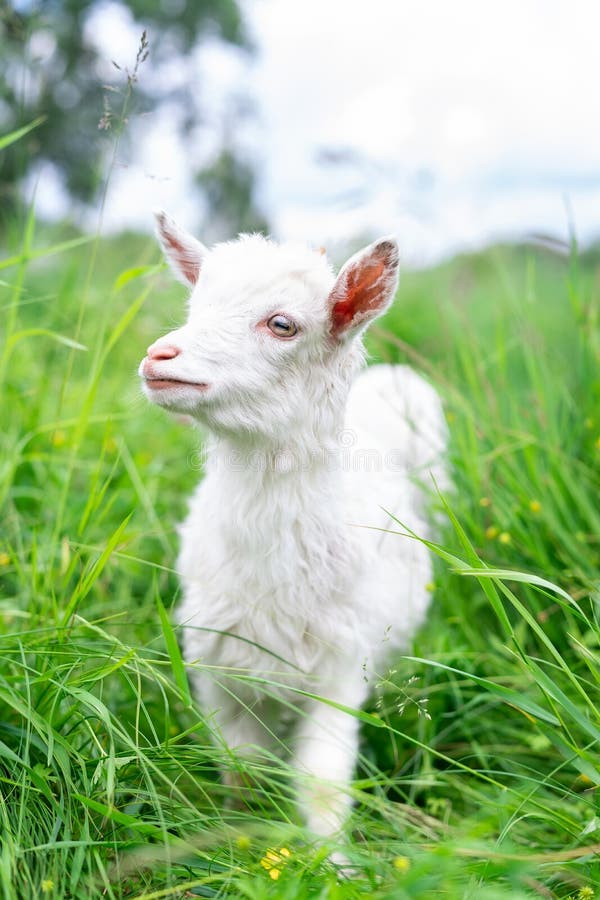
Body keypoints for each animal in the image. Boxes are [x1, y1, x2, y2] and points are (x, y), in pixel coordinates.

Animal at [139, 211, 447, 845]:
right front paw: (238, 833)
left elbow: (322, 784)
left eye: (282, 324)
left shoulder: (340, 671)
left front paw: (332, 858)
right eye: (195, 305)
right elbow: (243, 766)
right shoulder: (219, 668)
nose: (161, 357)